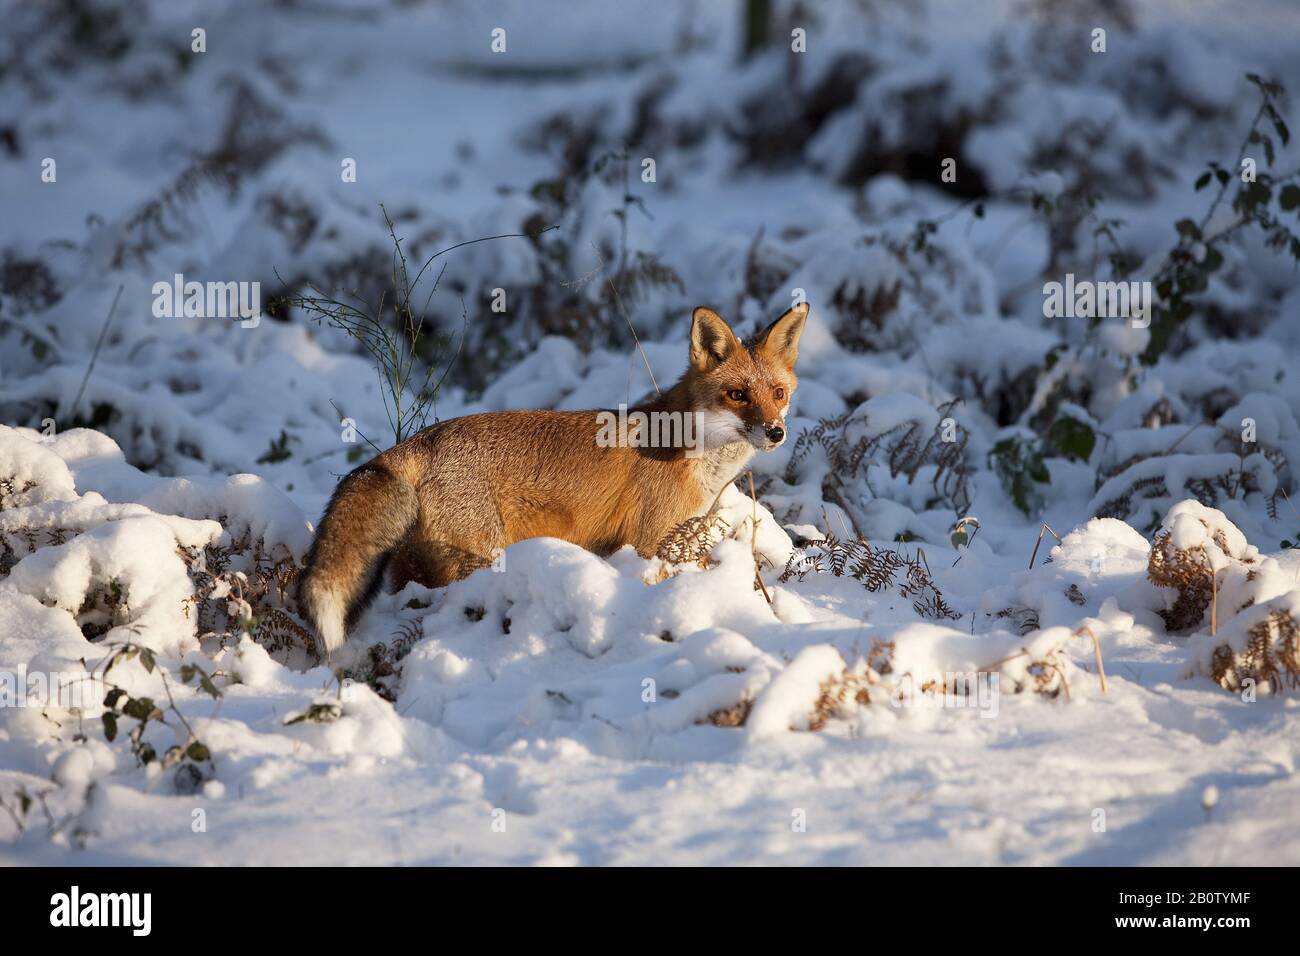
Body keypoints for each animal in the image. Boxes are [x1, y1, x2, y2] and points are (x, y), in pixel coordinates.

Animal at [296, 302, 809, 657]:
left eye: (778, 393)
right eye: (737, 394)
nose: (775, 432)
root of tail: (420, 440)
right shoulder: (652, 543)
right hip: (478, 558)